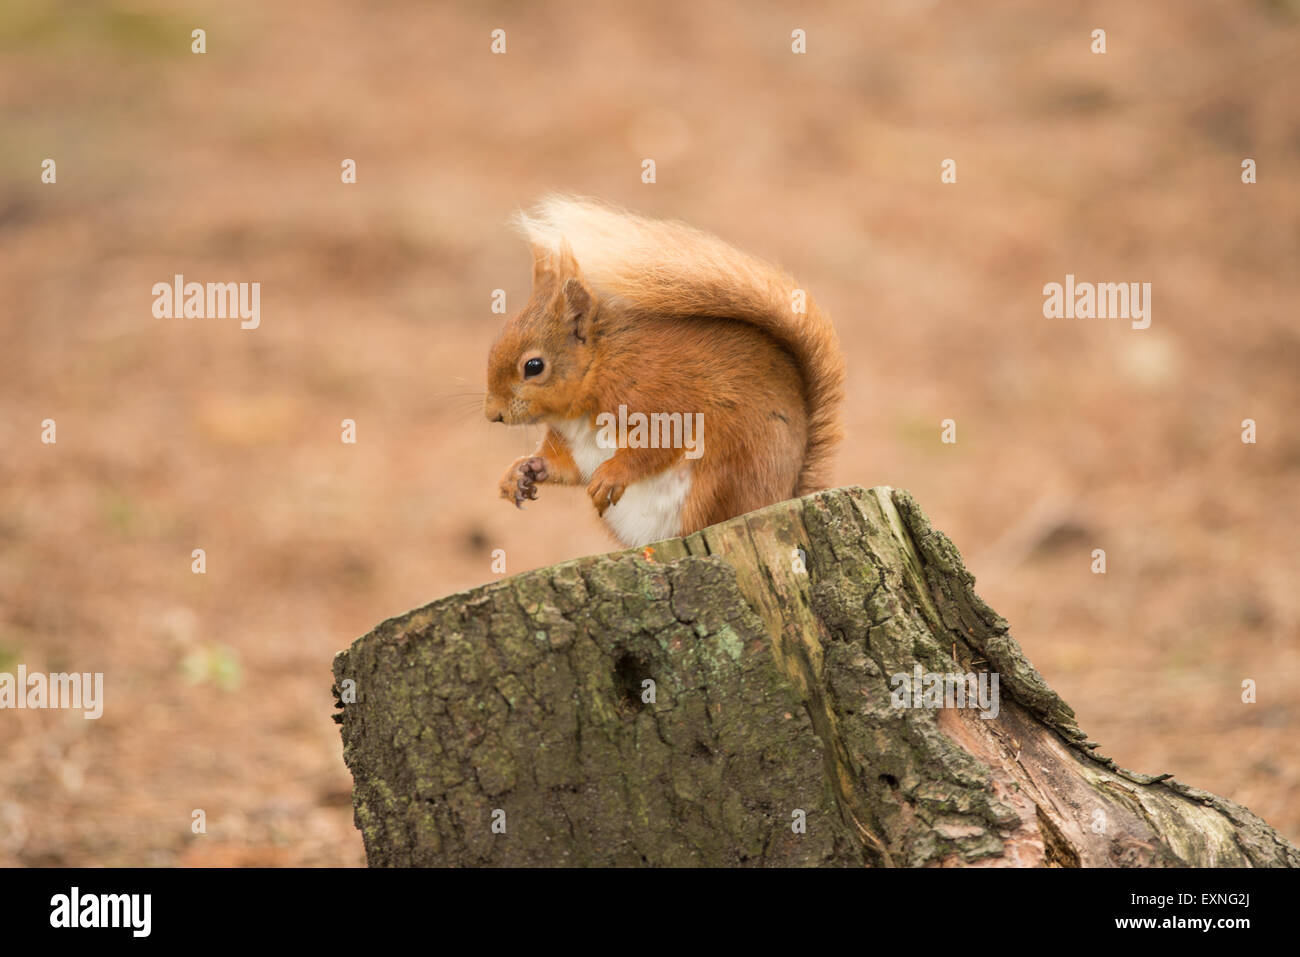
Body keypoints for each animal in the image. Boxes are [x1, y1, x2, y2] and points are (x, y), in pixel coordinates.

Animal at [484, 196, 845, 548]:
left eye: (533, 366)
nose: (493, 415)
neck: (600, 370)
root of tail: (786, 493)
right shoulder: (574, 445)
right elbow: (563, 465)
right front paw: (521, 472)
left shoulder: (659, 398)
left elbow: (657, 444)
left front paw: (612, 473)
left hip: (720, 481)